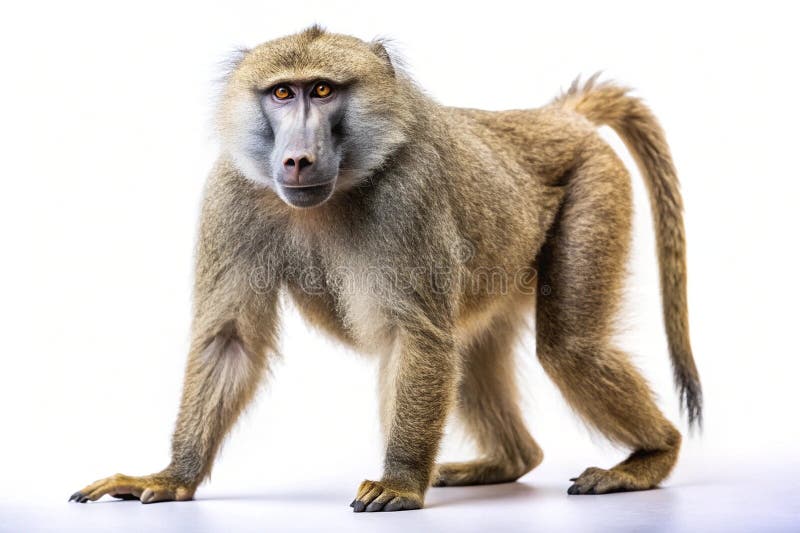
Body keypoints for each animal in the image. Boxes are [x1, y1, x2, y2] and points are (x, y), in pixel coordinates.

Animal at [69, 25, 701, 512]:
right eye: (282, 93)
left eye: (323, 90)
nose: (296, 159)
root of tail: (555, 120)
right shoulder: (232, 196)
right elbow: (231, 341)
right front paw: (171, 476)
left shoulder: (409, 195)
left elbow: (417, 335)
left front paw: (399, 482)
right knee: (476, 356)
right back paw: (507, 461)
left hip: (595, 184)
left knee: (568, 349)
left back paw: (652, 457)